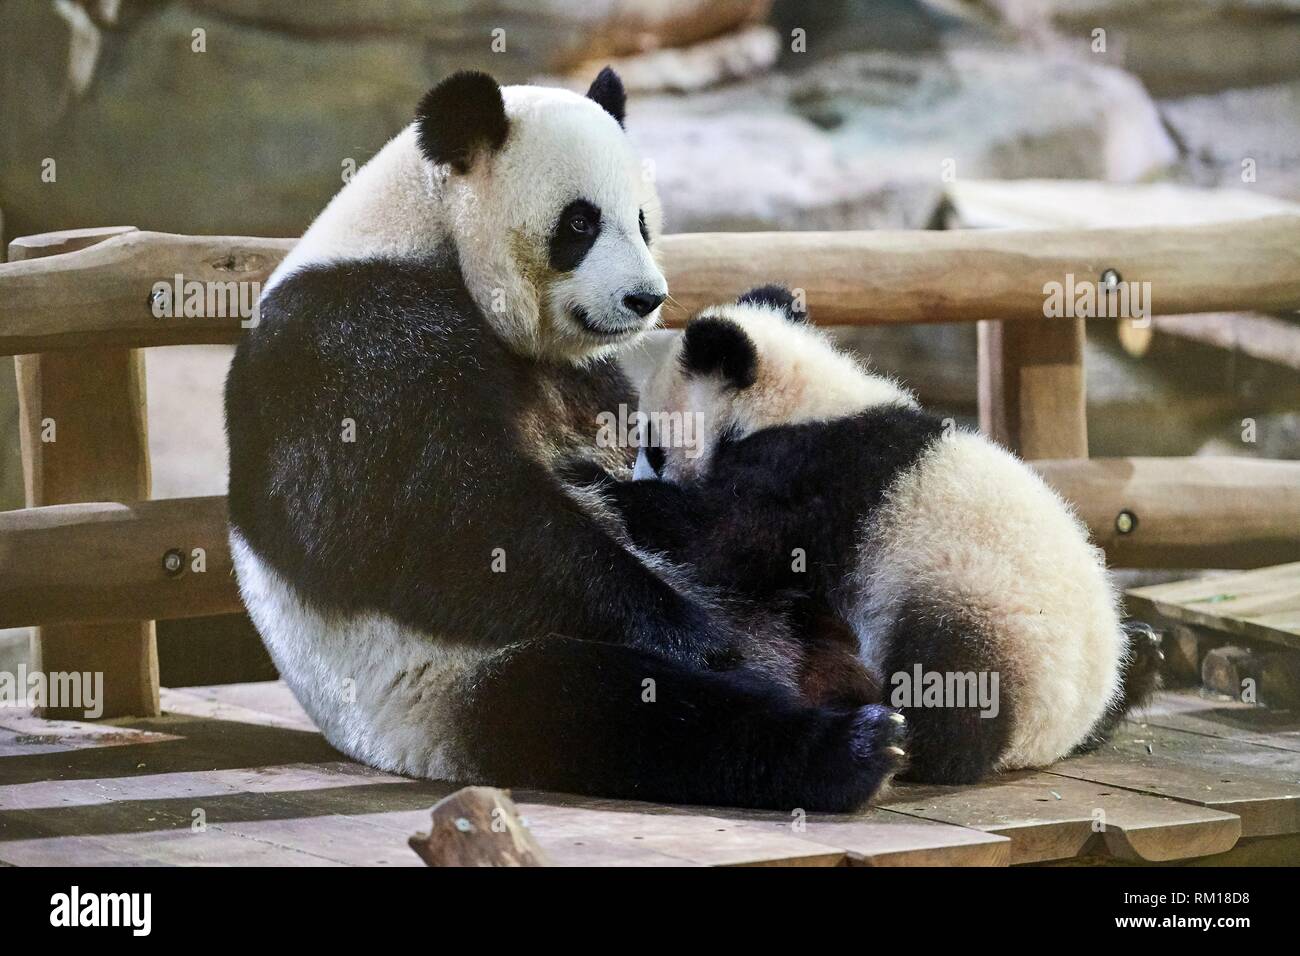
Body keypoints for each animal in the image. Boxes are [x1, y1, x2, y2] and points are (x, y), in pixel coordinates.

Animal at [224, 71, 907, 813]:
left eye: (642, 219)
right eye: (580, 223)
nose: (645, 298)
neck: (424, 235)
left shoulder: (591, 379)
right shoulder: (347, 340)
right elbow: (434, 520)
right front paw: (698, 640)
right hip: (441, 686)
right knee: (603, 703)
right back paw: (848, 746)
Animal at [574, 285, 1161, 783]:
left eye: (652, 446)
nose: (638, 469)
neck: (803, 400)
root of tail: (1050, 739)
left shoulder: (813, 478)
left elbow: (723, 543)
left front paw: (604, 485)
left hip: (975, 604)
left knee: (951, 679)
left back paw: (909, 739)